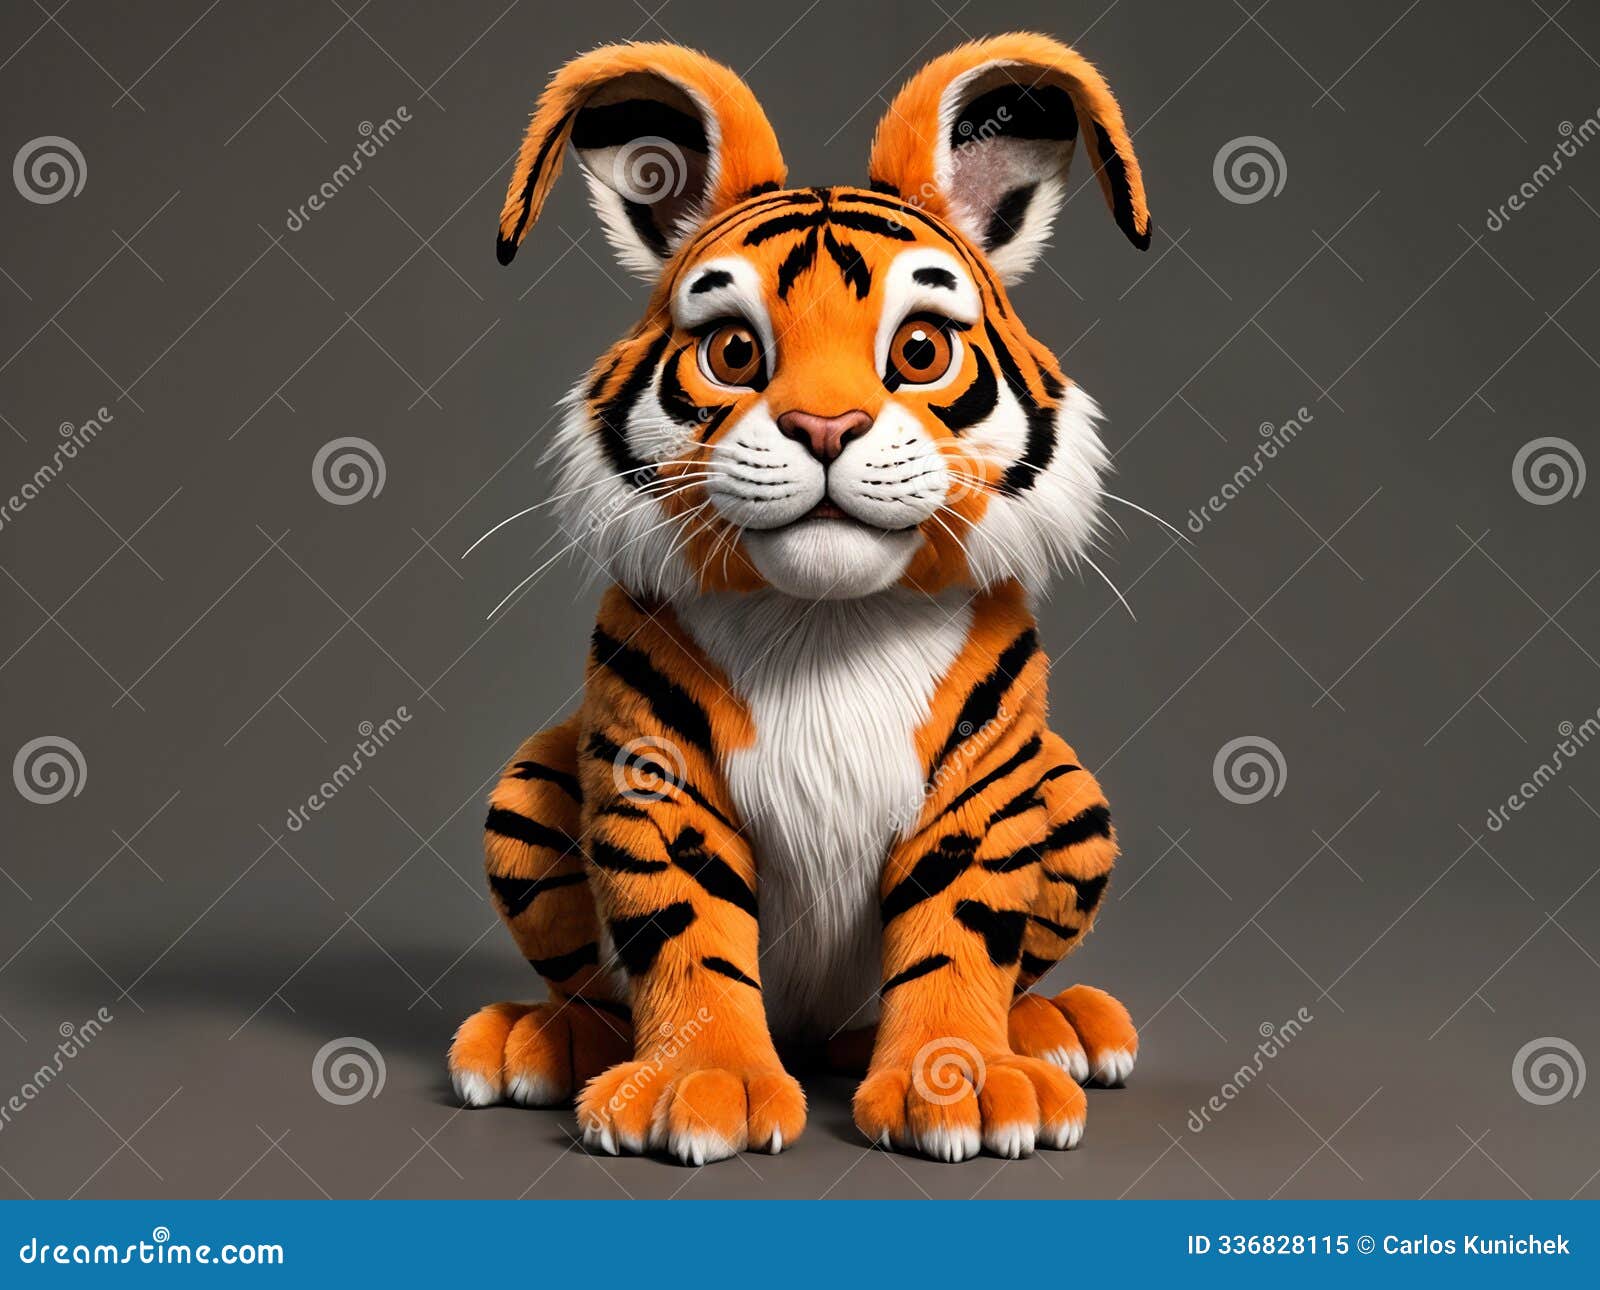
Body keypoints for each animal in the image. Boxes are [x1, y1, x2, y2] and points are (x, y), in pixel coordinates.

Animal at [448, 33, 1153, 1165]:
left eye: (919, 349)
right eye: (734, 352)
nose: (825, 427)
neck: (827, 619)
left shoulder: (988, 783)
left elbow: (962, 929)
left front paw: (963, 1083)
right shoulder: (654, 775)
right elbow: (684, 928)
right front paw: (695, 1084)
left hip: (1072, 787)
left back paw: (1054, 1029)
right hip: (531, 777)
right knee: (588, 984)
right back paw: (540, 1039)